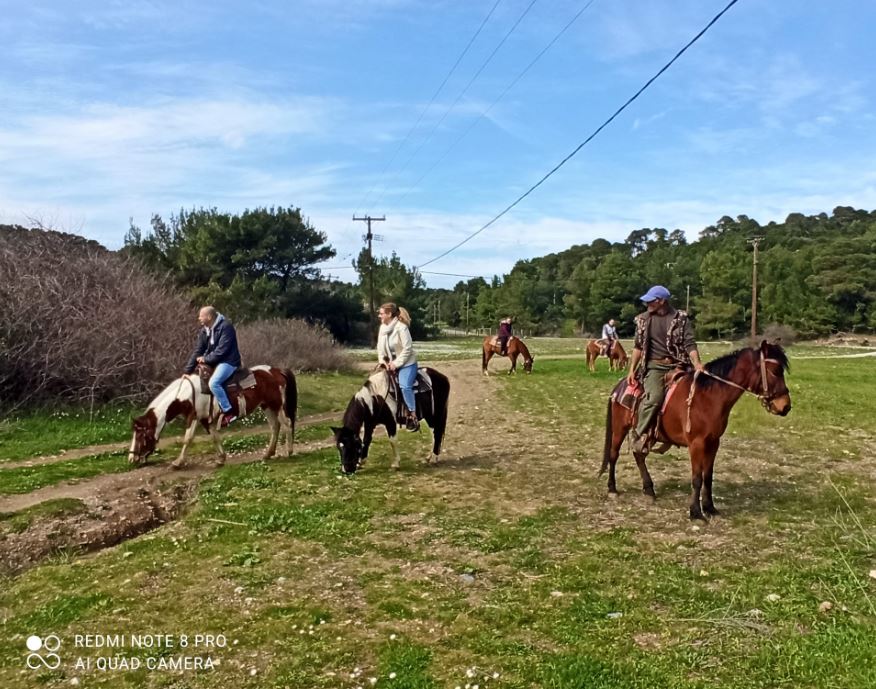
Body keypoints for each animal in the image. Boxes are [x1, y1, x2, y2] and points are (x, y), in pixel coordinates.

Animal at [129, 365, 296, 468]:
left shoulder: (194, 417)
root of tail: (276, 371)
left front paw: (178, 462)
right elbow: (215, 437)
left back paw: (288, 451)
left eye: (140, 435)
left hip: (277, 405)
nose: (132, 458)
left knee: (286, 423)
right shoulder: (205, 419)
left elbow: (188, 438)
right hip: (266, 406)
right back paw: (268, 454)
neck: (186, 394)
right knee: (275, 426)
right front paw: (221, 459)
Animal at [600, 341, 791, 520]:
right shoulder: (696, 444)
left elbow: (708, 477)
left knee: (638, 455)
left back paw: (649, 490)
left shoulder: (713, 443)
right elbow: (697, 478)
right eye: (775, 371)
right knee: (614, 454)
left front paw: (710, 508)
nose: (785, 406)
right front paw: (696, 512)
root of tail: (620, 385)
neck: (708, 397)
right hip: (619, 429)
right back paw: (612, 489)